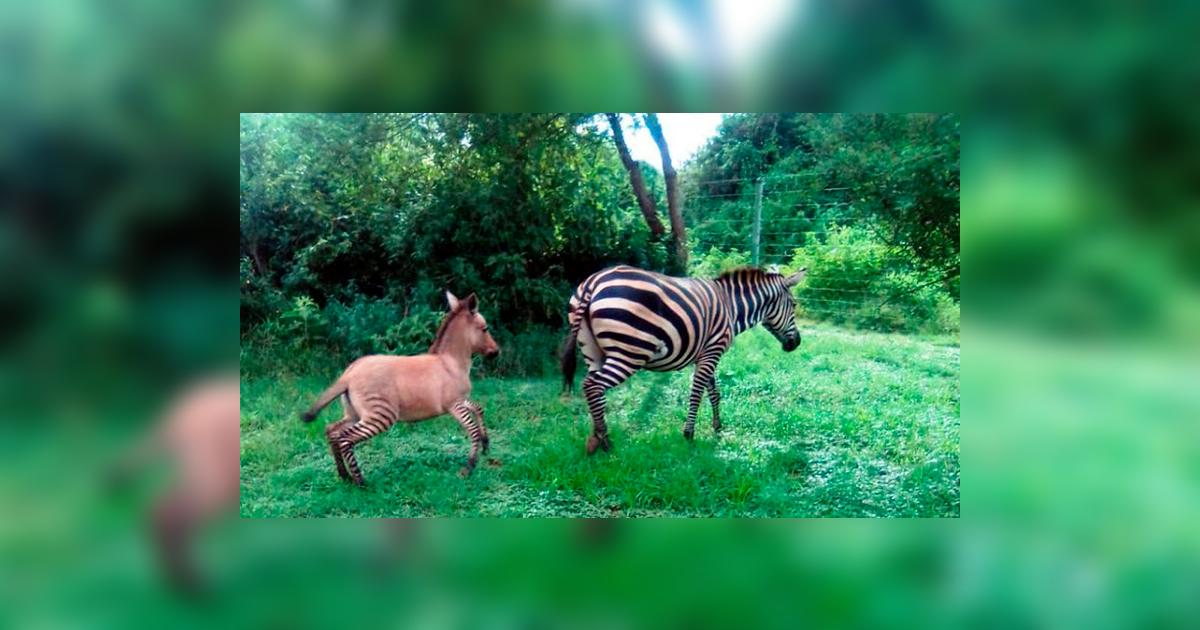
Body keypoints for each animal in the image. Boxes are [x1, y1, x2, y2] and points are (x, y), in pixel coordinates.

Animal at [560, 265, 806, 454]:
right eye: (794, 305)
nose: (797, 343)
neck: (732, 307)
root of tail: (593, 282)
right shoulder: (712, 351)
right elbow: (697, 393)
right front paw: (689, 434)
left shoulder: (705, 354)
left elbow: (714, 392)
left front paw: (717, 428)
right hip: (629, 353)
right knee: (593, 386)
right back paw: (605, 442)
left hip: (593, 352)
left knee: (593, 390)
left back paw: (596, 438)